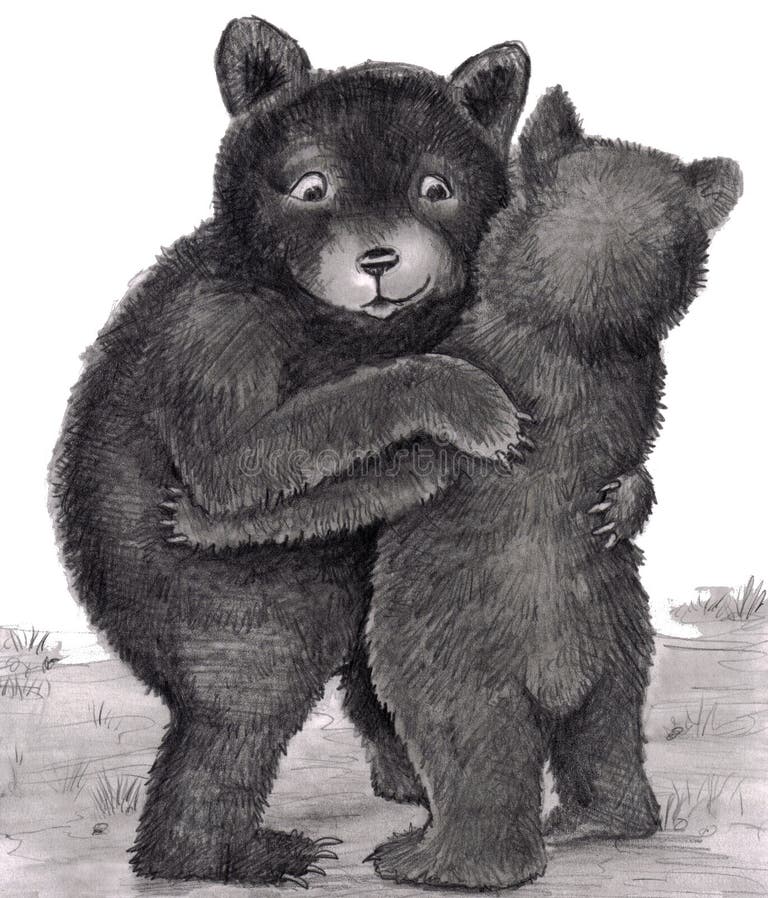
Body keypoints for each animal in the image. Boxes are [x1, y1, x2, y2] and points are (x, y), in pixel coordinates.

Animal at [48, 16, 533, 887]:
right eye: (312, 188)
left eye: (436, 189)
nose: (379, 262)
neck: (343, 327)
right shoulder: (218, 331)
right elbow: (237, 466)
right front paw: (467, 408)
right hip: (231, 606)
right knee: (242, 714)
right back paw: (238, 855)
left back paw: (407, 780)